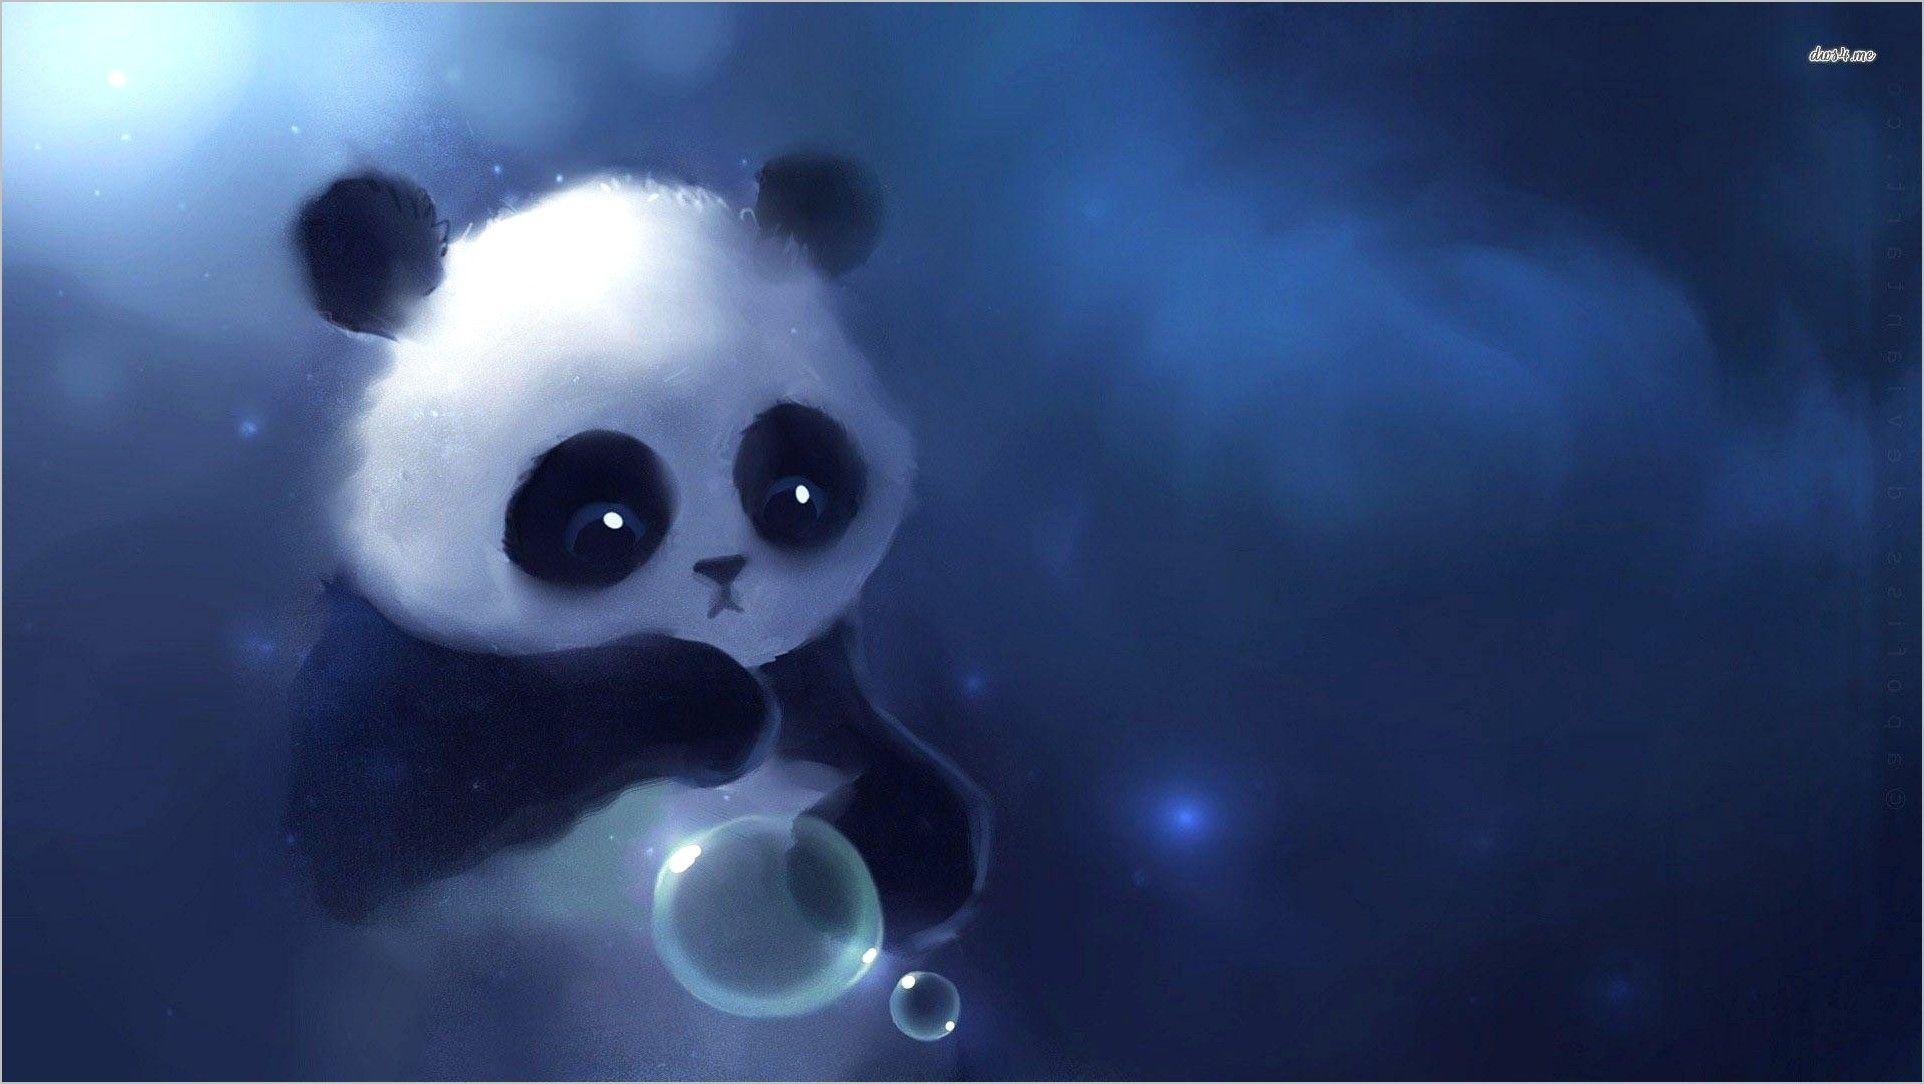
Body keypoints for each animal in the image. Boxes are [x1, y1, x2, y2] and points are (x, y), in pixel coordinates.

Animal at [286, 155, 988, 953]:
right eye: (604, 527)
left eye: (798, 497)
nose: (722, 571)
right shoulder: (385, 661)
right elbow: (388, 810)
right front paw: (715, 706)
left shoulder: (811, 681)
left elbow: (907, 789)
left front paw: (844, 866)